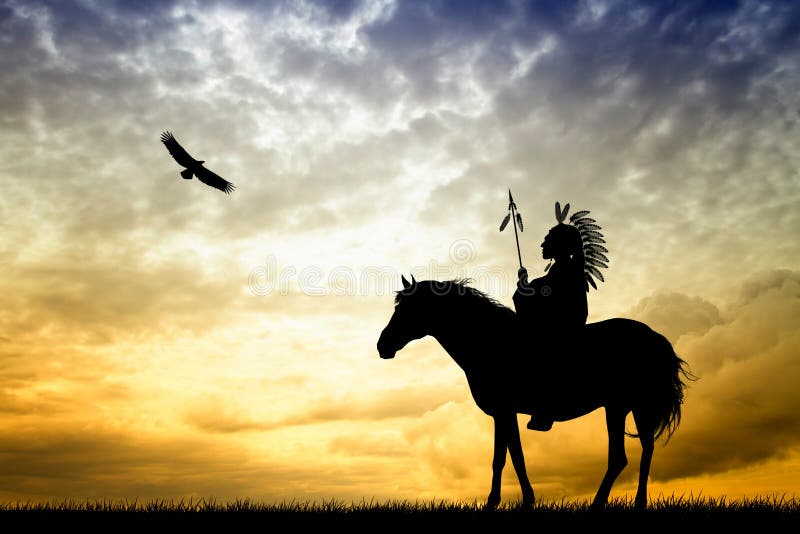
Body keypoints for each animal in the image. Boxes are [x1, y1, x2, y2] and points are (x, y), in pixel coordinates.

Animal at [376, 276, 691, 510]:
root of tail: (654, 338)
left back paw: (598, 504)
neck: (489, 341)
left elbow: (510, 457)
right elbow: (506, 457)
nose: (382, 345)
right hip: (634, 407)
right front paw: (505, 501)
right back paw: (639, 503)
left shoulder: (505, 411)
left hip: (618, 406)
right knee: (646, 448)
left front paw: (514, 501)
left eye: (406, 309)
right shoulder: (503, 414)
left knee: (619, 458)